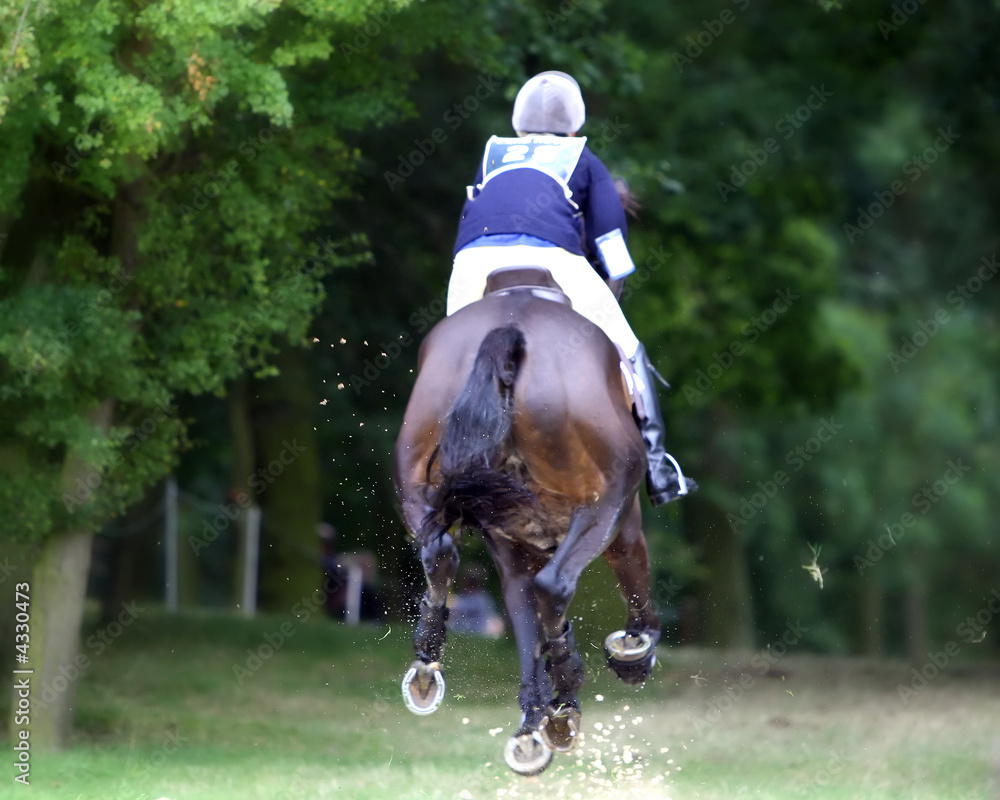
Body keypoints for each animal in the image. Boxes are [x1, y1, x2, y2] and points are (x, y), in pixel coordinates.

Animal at [394, 267, 663, 775]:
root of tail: (510, 328)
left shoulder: (511, 548)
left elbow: (523, 622)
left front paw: (538, 723)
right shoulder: (622, 523)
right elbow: (629, 582)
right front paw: (634, 652)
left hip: (416, 476)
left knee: (440, 555)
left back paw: (429, 660)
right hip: (607, 500)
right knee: (554, 586)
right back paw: (575, 674)